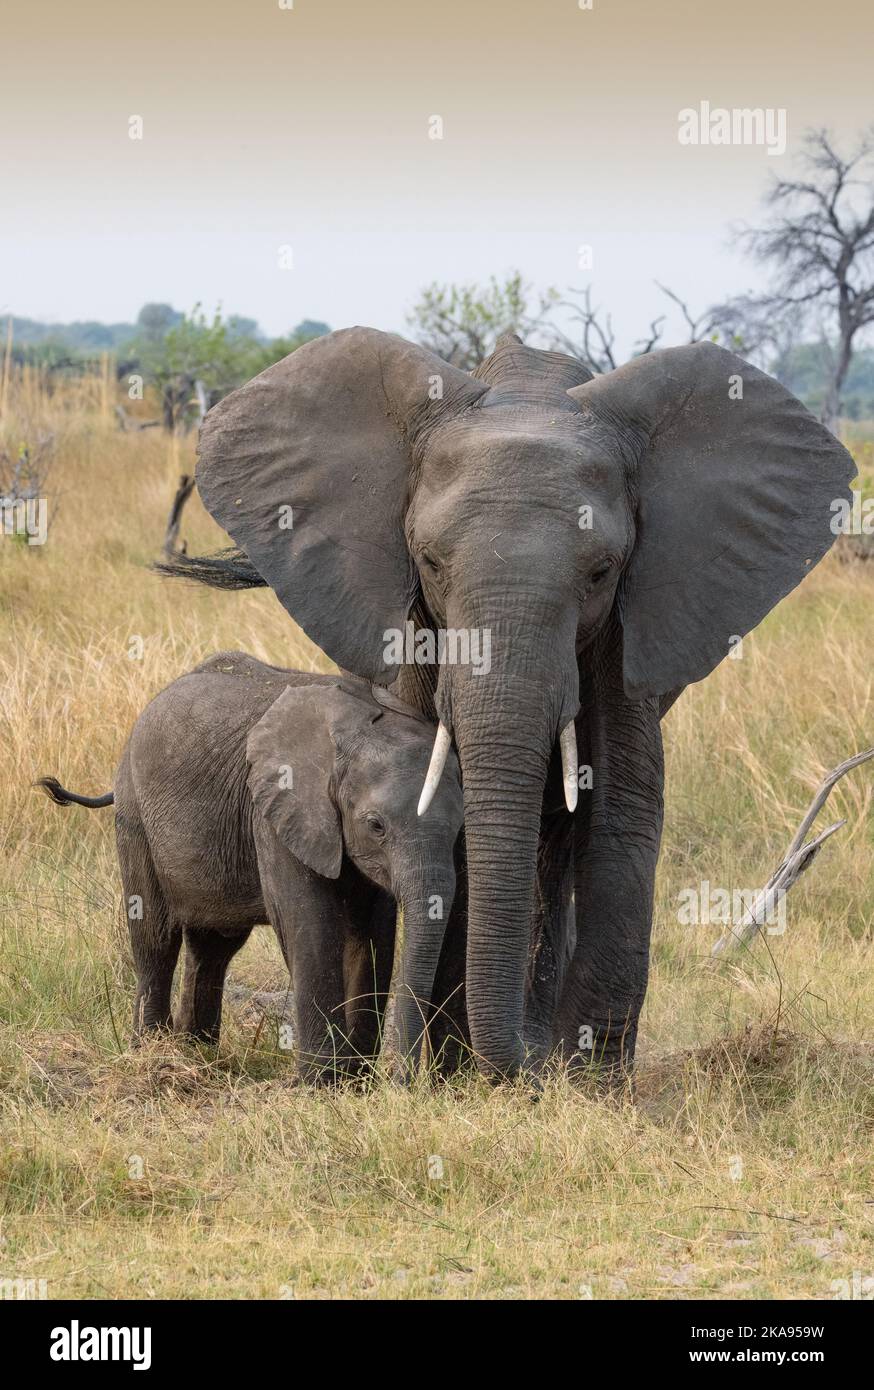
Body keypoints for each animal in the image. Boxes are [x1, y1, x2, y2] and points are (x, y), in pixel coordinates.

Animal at [37, 652, 463, 1081]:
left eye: (459, 829)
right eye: (376, 826)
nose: (405, 1081)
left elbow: (373, 935)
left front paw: (356, 1081)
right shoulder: (276, 810)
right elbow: (310, 924)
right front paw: (324, 1084)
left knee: (213, 946)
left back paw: (197, 1051)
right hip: (134, 814)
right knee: (155, 939)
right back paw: (153, 1052)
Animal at [158, 329, 855, 1082]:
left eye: (601, 573)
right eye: (430, 564)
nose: (523, 1068)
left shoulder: (633, 626)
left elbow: (620, 806)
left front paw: (589, 1082)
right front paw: (464, 1071)